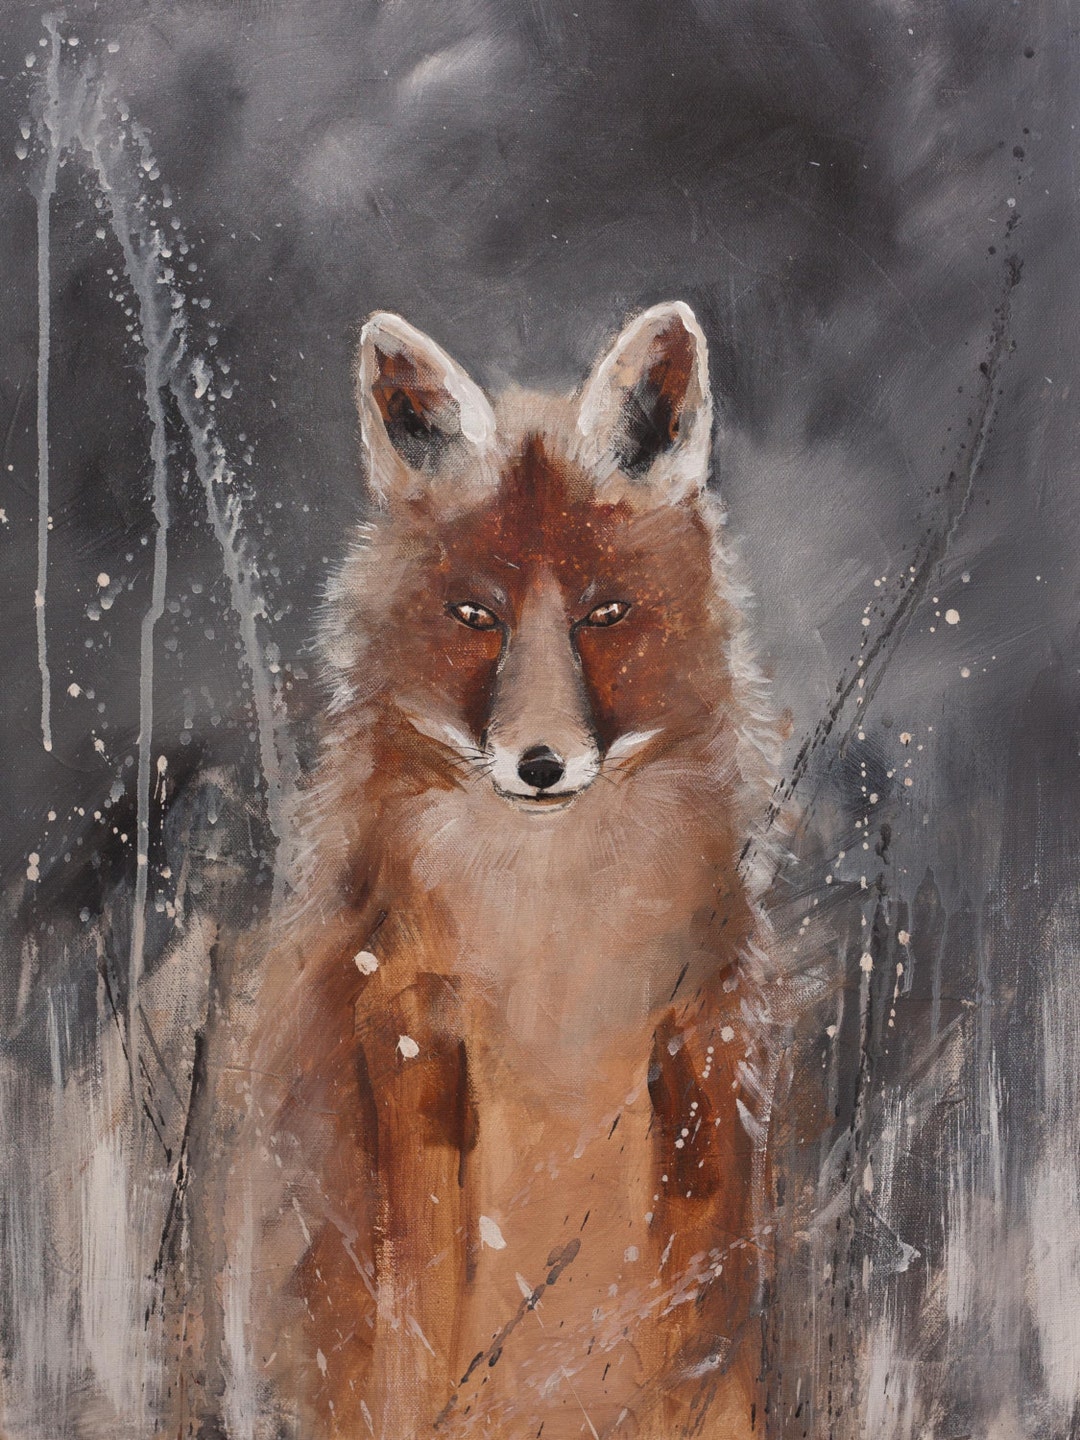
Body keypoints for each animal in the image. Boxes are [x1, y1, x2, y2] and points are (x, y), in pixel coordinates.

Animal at [221, 302, 785, 1440]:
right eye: (478, 616)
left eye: (602, 615)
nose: (540, 764)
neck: (552, 953)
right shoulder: (409, 1032)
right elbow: (421, 1327)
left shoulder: (701, 1039)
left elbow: (704, 1329)